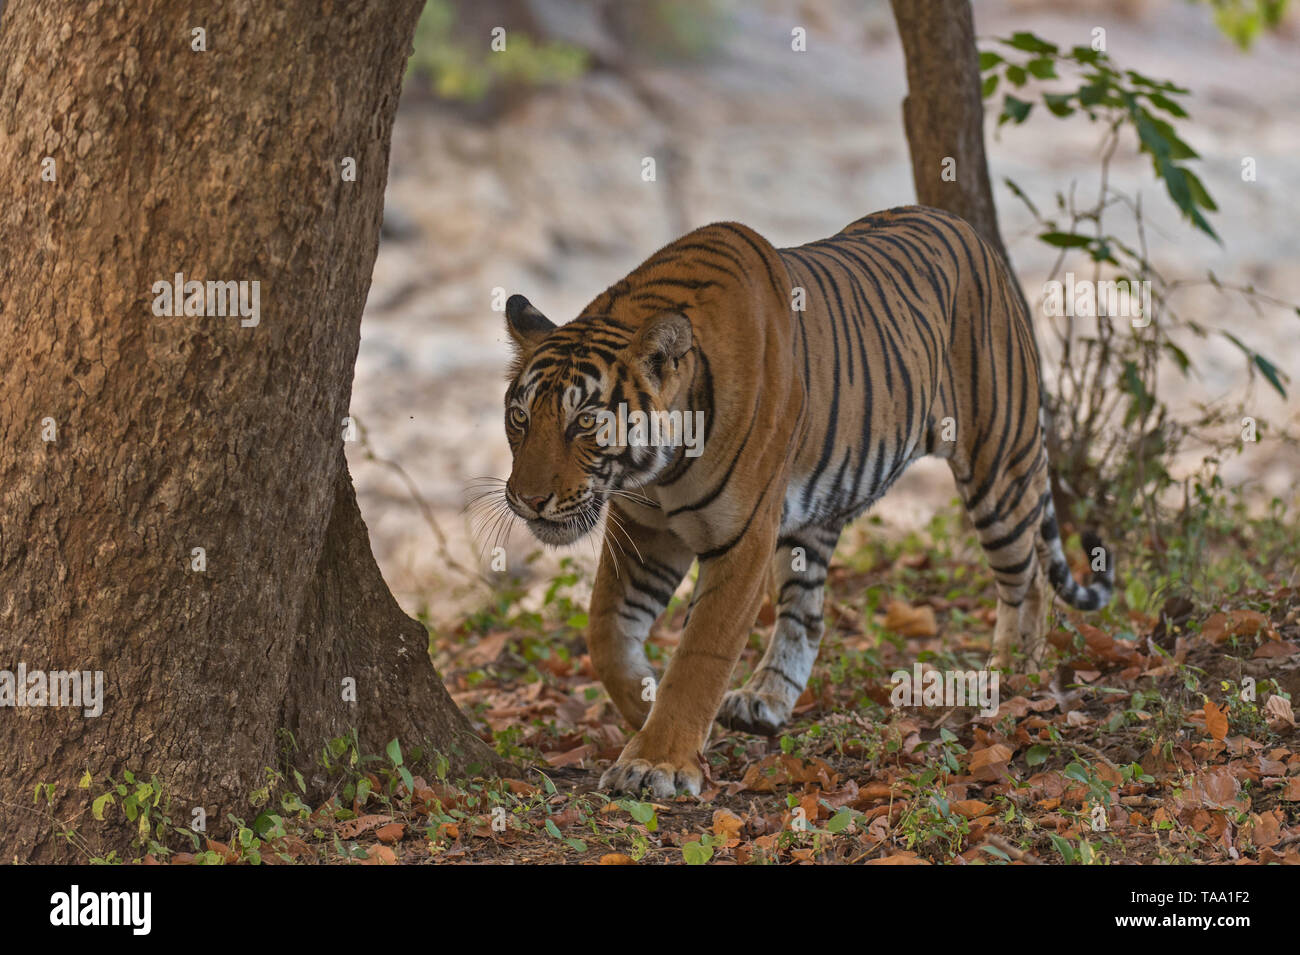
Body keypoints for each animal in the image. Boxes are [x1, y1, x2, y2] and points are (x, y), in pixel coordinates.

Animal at [499, 205, 1114, 798]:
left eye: (584, 422)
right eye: (520, 416)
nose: (527, 500)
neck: (656, 473)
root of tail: (967, 229)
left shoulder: (742, 538)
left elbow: (700, 654)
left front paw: (657, 763)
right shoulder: (646, 531)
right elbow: (605, 632)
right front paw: (645, 708)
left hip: (999, 465)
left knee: (1027, 577)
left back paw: (1013, 675)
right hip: (819, 507)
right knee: (808, 612)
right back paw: (765, 700)